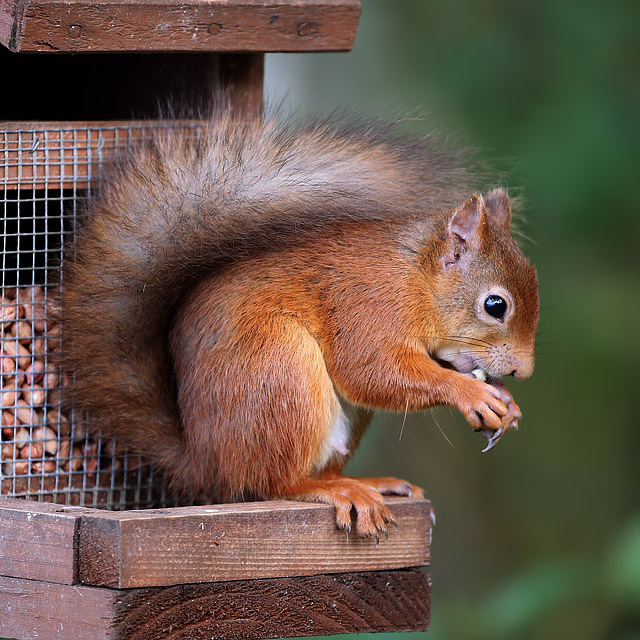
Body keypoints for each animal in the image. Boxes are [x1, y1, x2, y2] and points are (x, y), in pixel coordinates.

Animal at [60, 108, 539, 539]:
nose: (524, 371)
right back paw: (338, 491)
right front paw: (472, 393)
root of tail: (204, 462)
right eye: (495, 305)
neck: (415, 276)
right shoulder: (366, 305)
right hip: (281, 369)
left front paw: (508, 402)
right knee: (274, 483)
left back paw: (366, 482)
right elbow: (370, 370)